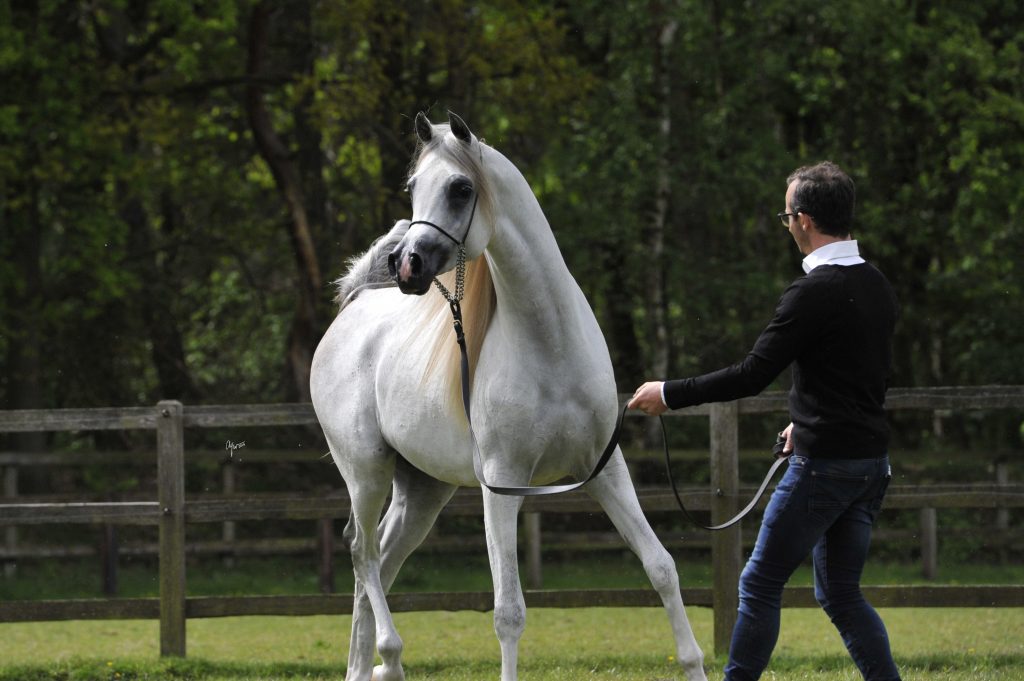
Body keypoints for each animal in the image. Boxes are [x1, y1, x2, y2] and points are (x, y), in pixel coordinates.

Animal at [310, 111, 707, 681]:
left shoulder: (605, 469)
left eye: (460, 188)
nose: (407, 265)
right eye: (414, 188)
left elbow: (662, 567)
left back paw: (367, 667)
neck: (550, 345)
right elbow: (509, 611)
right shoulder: (501, 484)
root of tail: (354, 308)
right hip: (366, 471)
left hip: (422, 491)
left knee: (380, 564)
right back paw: (390, 652)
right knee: (361, 551)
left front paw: (694, 664)